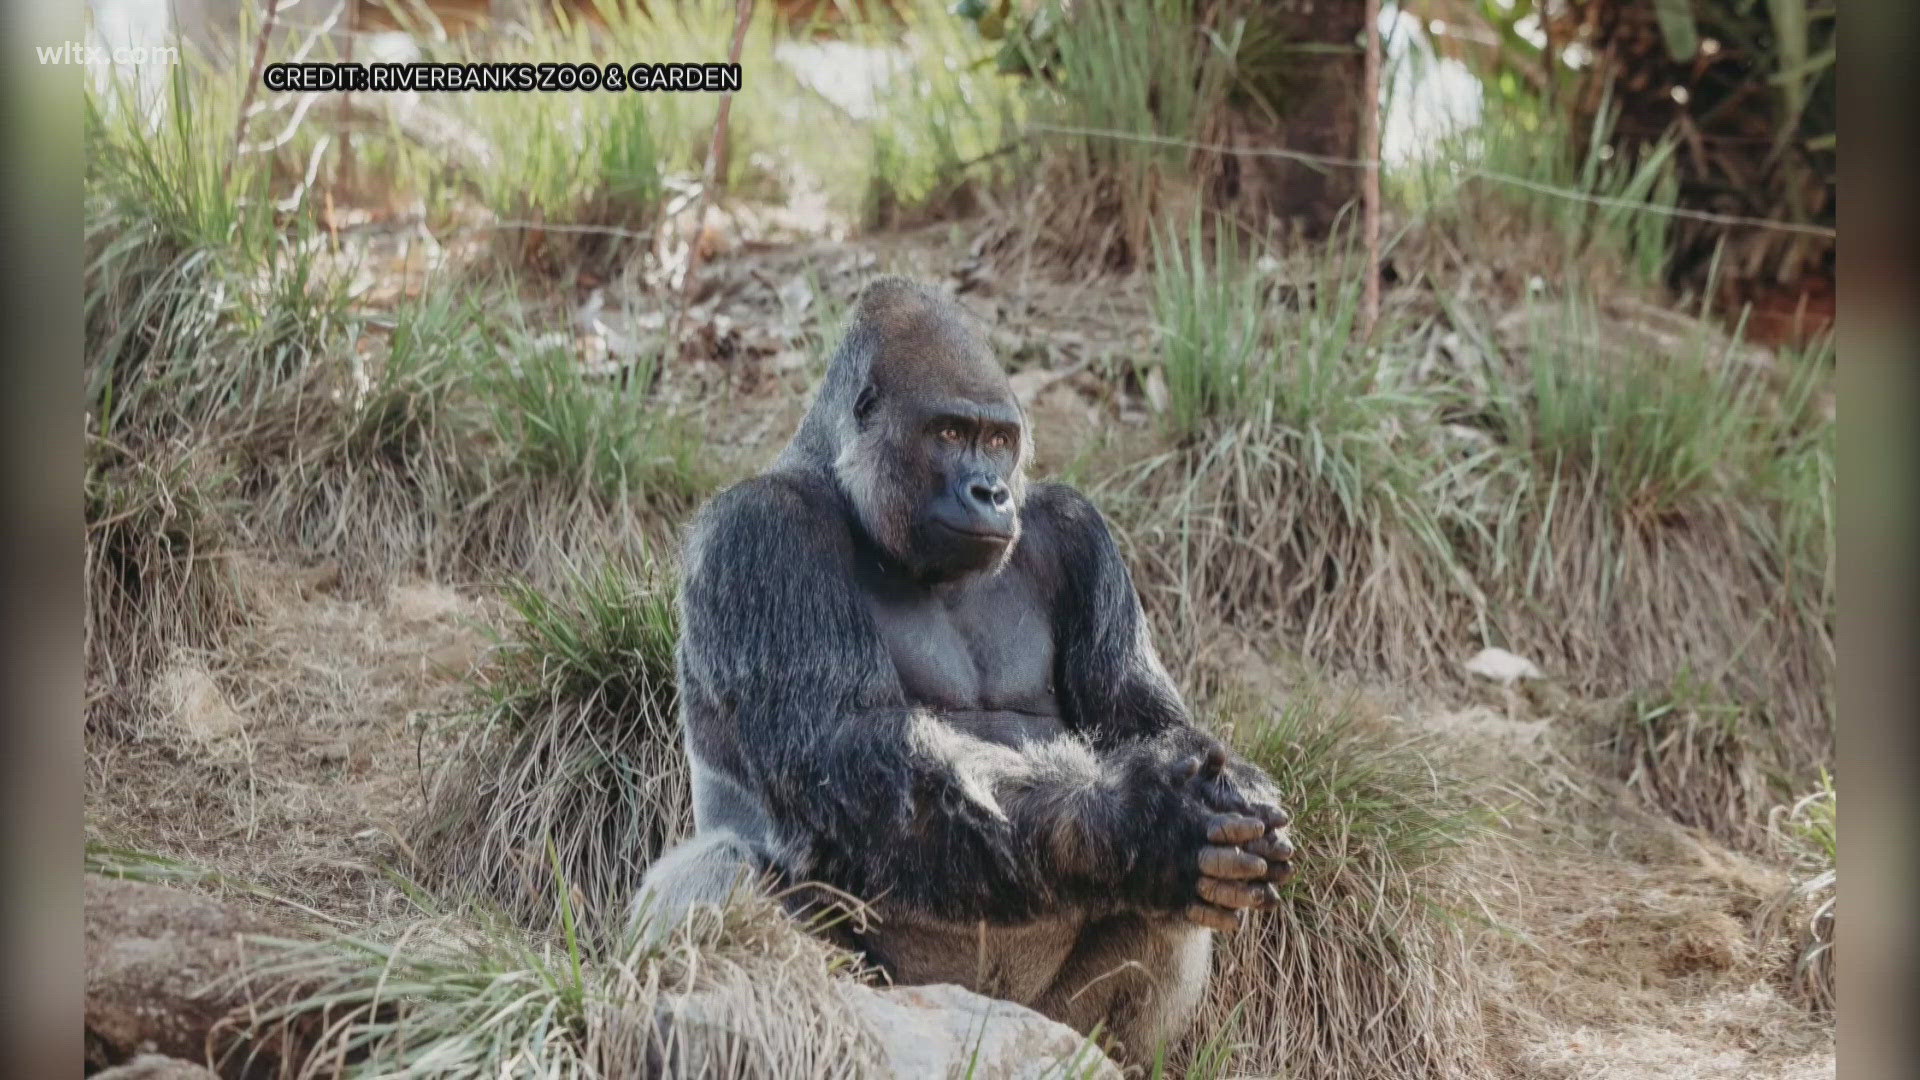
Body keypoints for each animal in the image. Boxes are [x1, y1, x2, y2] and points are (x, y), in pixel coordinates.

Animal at [631, 277, 1297, 1066]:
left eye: (999, 441)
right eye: (949, 434)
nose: (991, 492)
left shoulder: (1079, 529)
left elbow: (1146, 721)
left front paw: (1201, 797)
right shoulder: (761, 534)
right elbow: (848, 750)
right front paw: (1139, 823)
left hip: (1047, 1024)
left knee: (1166, 920)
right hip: (897, 1001)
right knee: (728, 870)